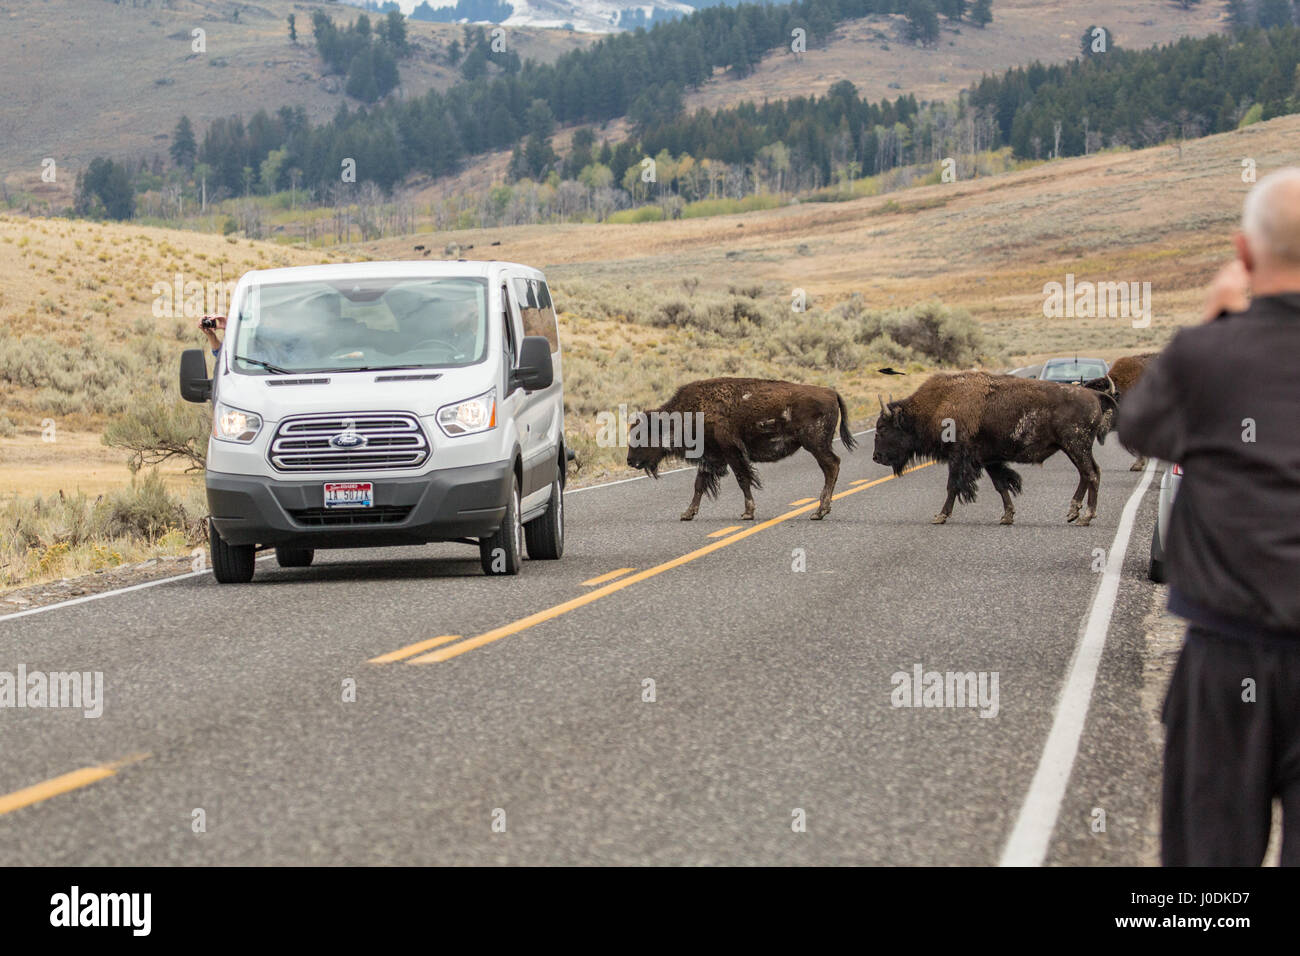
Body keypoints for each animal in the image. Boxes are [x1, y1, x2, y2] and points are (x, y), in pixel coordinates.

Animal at [626, 377, 856, 521]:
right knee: (832, 467)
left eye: (641, 436)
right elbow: (699, 485)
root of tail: (830, 392)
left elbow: (742, 479)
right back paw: (821, 510)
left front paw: (748, 513)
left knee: (831, 466)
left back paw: (819, 512)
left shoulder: (731, 454)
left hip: (816, 445)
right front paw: (687, 514)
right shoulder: (710, 458)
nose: (630, 460)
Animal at [871, 371, 1114, 526]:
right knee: (1087, 474)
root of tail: (1094, 394)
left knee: (1091, 473)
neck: (937, 405)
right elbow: (1001, 485)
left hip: (1076, 446)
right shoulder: (989, 460)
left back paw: (1085, 517)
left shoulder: (958, 458)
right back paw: (1073, 513)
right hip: (1073, 448)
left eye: (882, 428)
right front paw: (1007, 516)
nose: (876, 457)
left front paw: (940, 516)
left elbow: (953, 486)